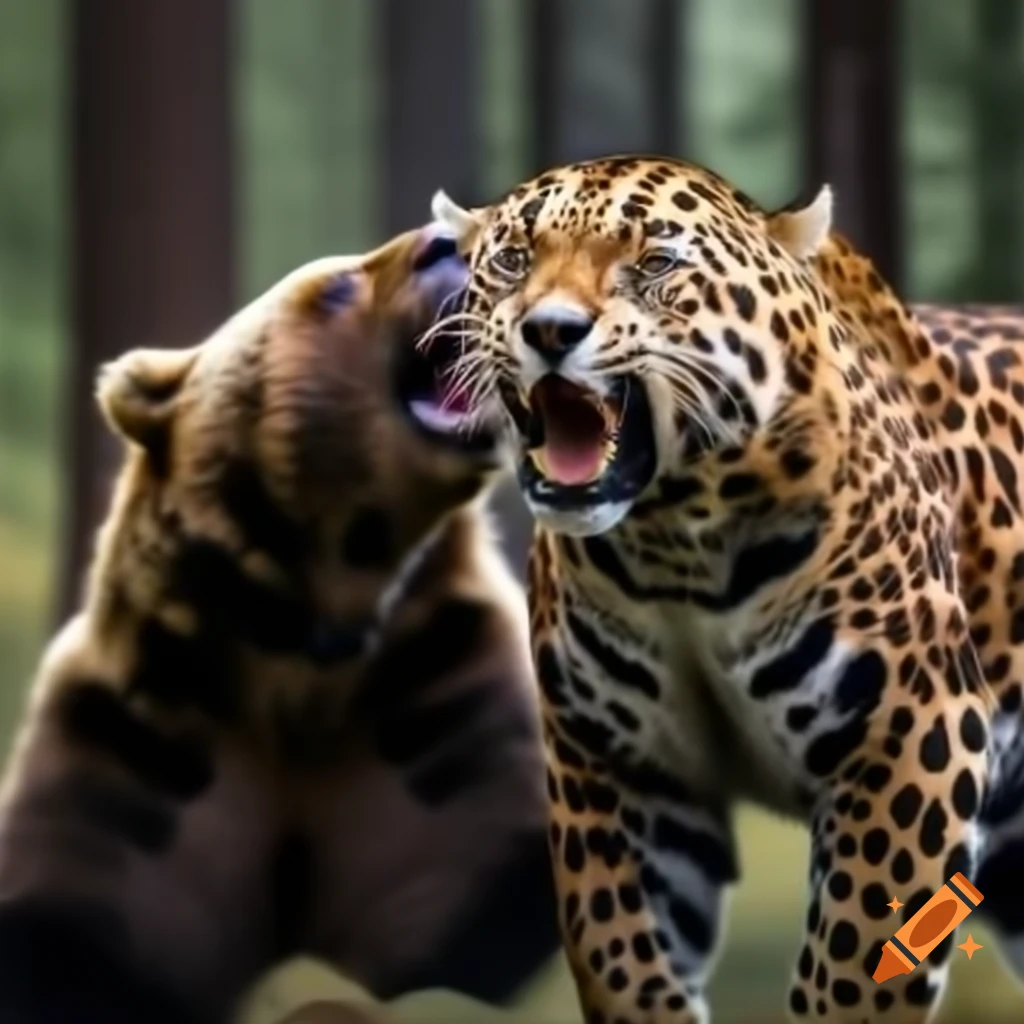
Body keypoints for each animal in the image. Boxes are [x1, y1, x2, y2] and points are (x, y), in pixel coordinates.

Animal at [430, 154, 1024, 1023]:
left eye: (653, 263)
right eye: (513, 260)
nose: (549, 330)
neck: (675, 545)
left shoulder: (912, 732)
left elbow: (852, 967)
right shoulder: (614, 764)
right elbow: (620, 954)